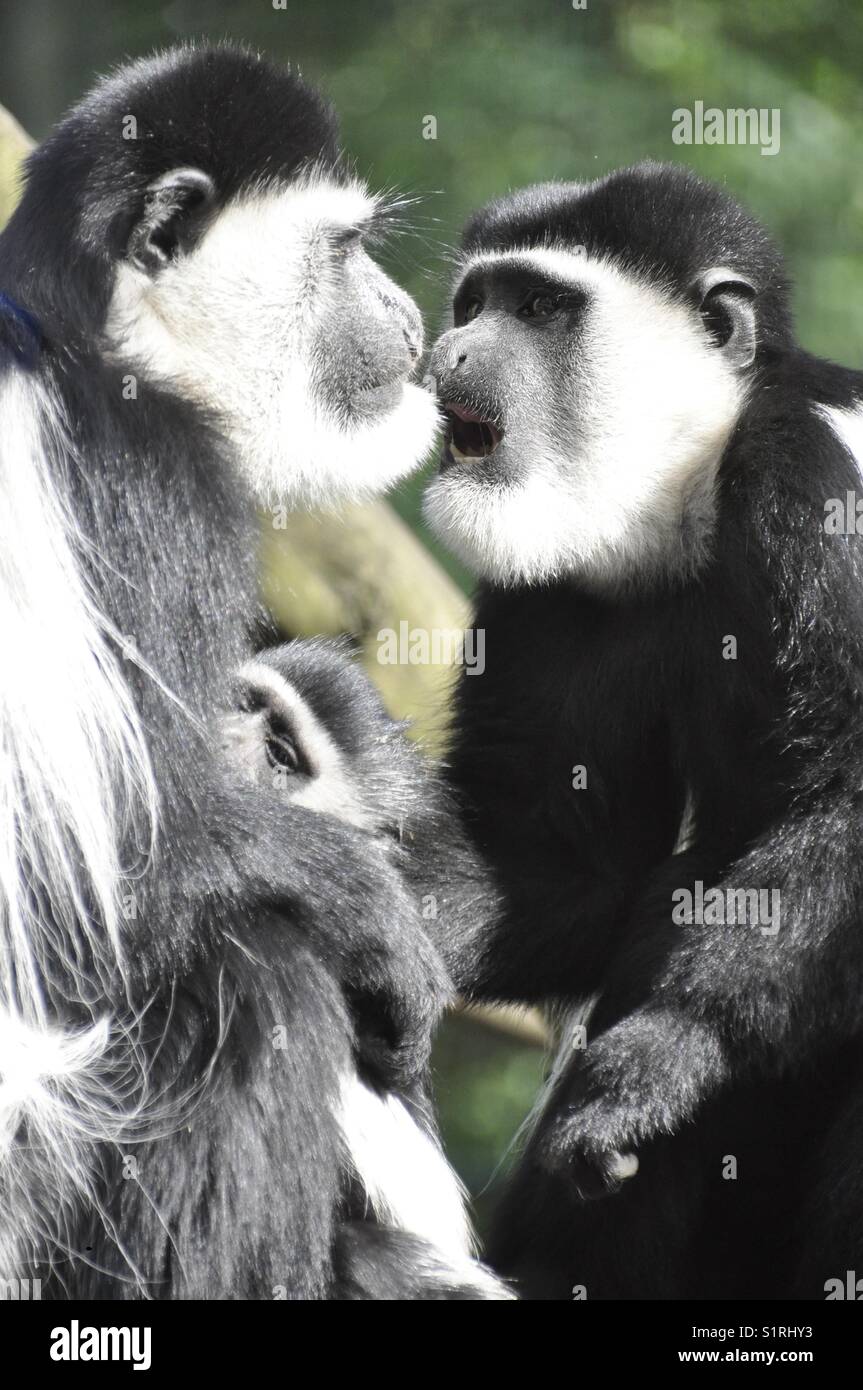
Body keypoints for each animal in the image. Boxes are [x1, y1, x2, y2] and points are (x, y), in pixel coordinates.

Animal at [0, 42, 447, 1298]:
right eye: (343, 250)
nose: (407, 319)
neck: (87, 333)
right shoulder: (154, 478)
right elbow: (99, 882)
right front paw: (375, 908)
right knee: (248, 966)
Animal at [422, 161, 863, 1298]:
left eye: (540, 308)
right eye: (474, 303)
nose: (444, 355)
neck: (691, 491)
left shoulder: (807, 484)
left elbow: (847, 795)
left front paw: (662, 1055)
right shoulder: (549, 589)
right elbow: (567, 861)